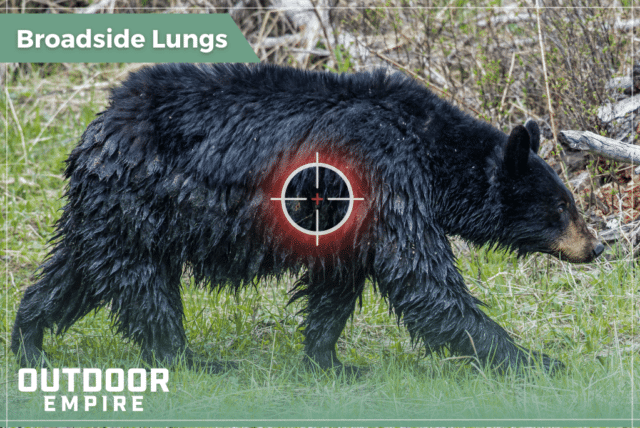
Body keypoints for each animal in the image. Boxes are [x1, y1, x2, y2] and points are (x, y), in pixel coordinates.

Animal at [11, 63, 603, 374]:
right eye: (562, 206)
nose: (596, 246)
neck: (428, 148)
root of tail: (96, 131)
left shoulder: (354, 215)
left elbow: (338, 283)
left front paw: (331, 361)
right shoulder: (385, 175)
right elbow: (422, 277)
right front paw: (534, 359)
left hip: (105, 214)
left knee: (71, 274)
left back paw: (28, 341)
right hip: (143, 208)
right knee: (144, 289)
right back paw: (189, 359)